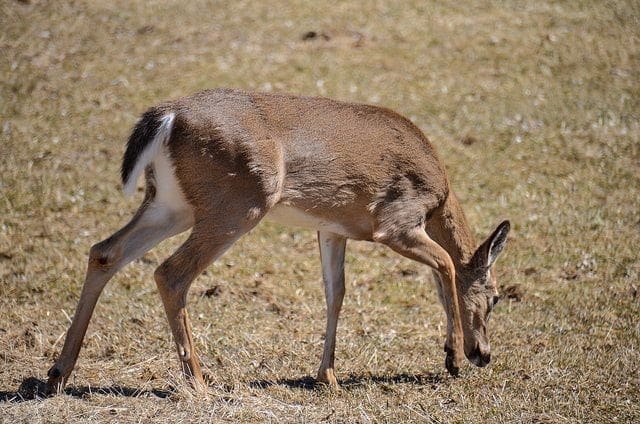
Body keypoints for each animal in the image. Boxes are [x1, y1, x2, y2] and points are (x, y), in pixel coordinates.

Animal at [46, 88, 510, 394]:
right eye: (496, 296)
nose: (485, 354)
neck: (439, 193)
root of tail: (167, 116)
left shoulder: (333, 228)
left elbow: (336, 293)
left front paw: (327, 376)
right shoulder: (393, 223)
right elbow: (446, 264)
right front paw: (453, 357)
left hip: (172, 204)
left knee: (106, 251)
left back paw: (58, 372)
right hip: (241, 201)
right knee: (170, 272)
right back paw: (200, 381)